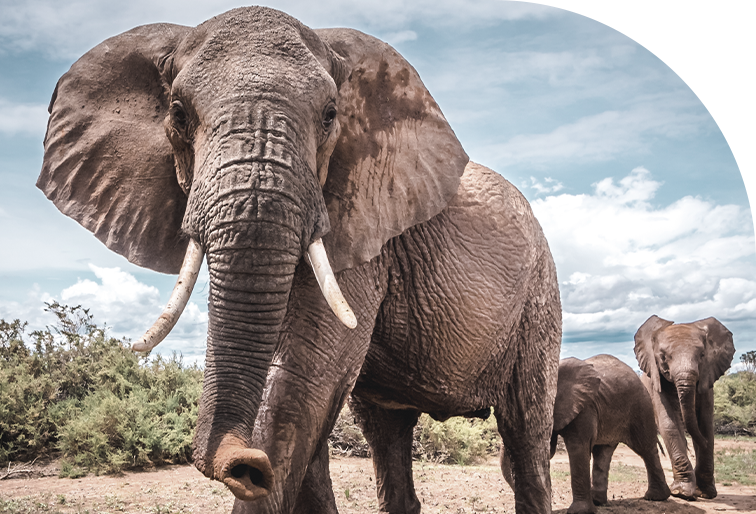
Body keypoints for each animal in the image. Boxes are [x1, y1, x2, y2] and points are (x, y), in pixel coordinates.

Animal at [36, 7, 562, 514]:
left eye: (330, 115)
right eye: (178, 113)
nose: (246, 467)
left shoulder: (361, 229)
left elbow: (301, 382)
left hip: (539, 301)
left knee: (526, 434)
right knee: (387, 429)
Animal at [500, 355, 670, 514]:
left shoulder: (585, 407)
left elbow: (578, 447)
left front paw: (579, 512)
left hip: (641, 407)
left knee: (646, 449)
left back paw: (655, 497)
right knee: (603, 453)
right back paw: (598, 502)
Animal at [634, 315, 735, 500]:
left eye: (702, 355)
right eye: (663, 357)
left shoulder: (706, 379)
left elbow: (705, 425)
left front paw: (705, 493)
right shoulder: (655, 383)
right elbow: (669, 423)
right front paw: (682, 493)